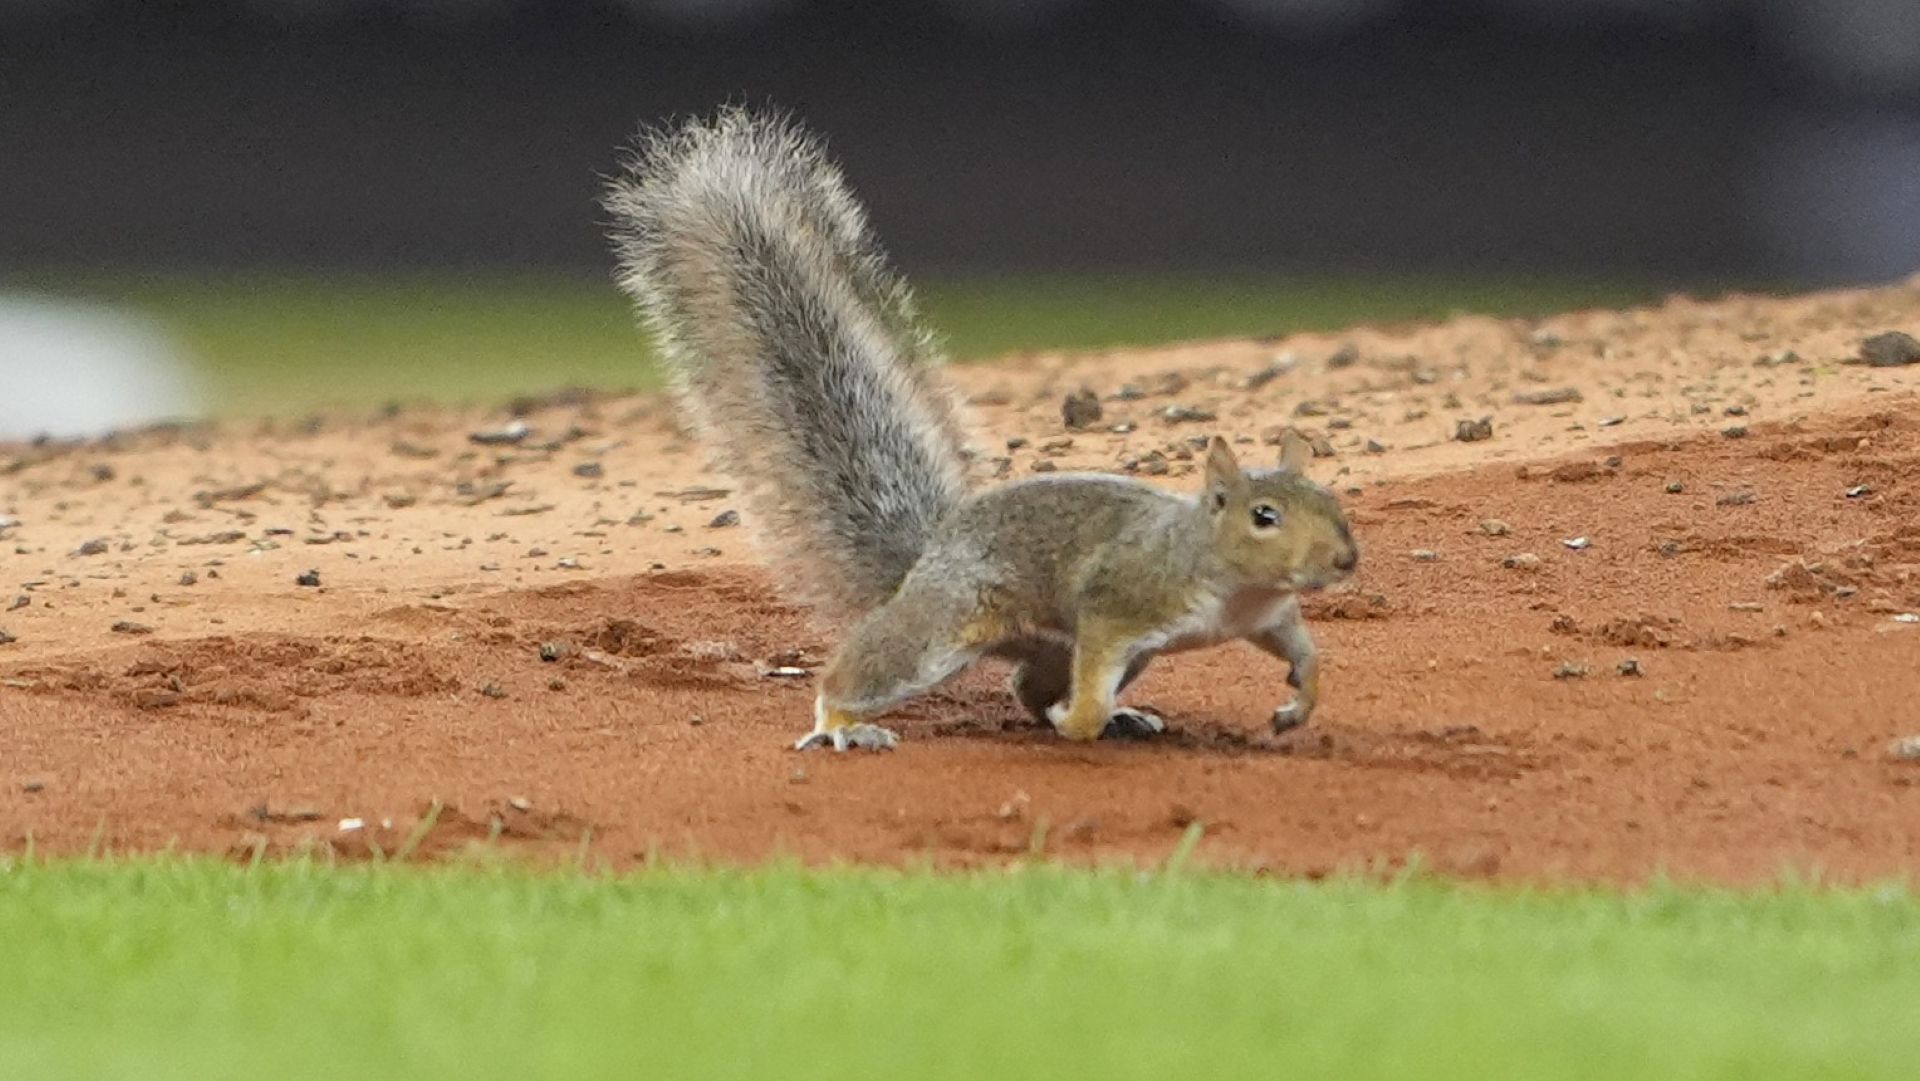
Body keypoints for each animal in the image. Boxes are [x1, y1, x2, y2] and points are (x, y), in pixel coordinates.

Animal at [604, 107, 1359, 752]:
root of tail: (929, 556)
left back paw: (1107, 715)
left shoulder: (1264, 616)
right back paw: (847, 724)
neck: (1226, 579)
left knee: (1029, 686)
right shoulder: (1118, 603)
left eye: (1332, 502)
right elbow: (1097, 660)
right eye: (1264, 516)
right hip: (949, 625)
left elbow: (1304, 651)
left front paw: (1300, 700)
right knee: (868, 671)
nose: (1345, 561)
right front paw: (1083, 723)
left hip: (1061, 647)